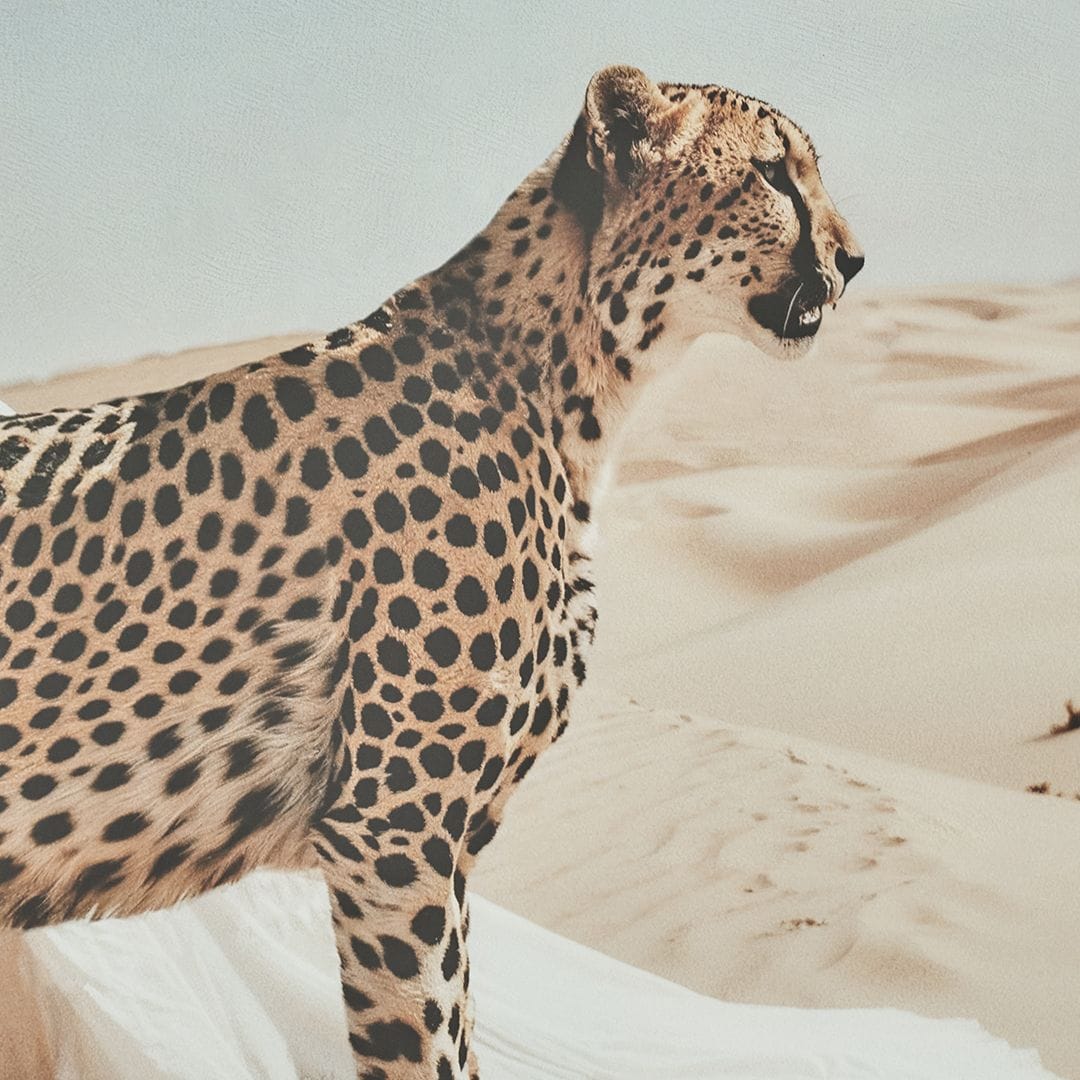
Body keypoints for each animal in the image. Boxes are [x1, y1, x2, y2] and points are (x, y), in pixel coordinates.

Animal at [0, 66, 862, 1079]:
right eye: (772, 173)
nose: (854, 261)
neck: (565, 376)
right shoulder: (392, 831)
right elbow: (424, 1038)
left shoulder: (441, 841)